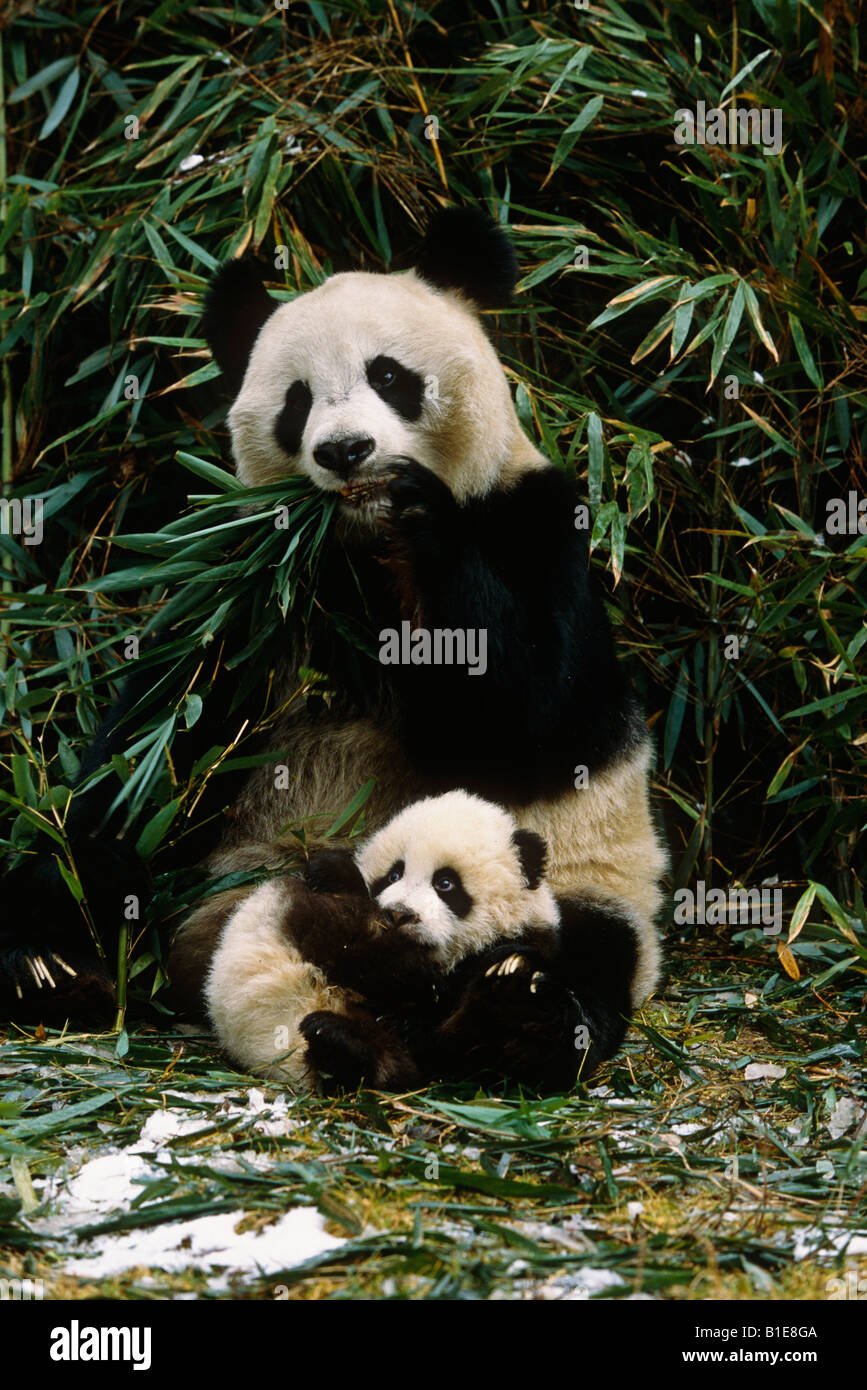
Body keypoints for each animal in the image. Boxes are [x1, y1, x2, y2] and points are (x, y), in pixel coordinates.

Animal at [205, 790, 637, 1093]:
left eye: (445, 883)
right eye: (393, 875)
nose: (399, 914)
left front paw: (510, 985)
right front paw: (334, 869)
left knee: (388, 1060)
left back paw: (340, 1041)